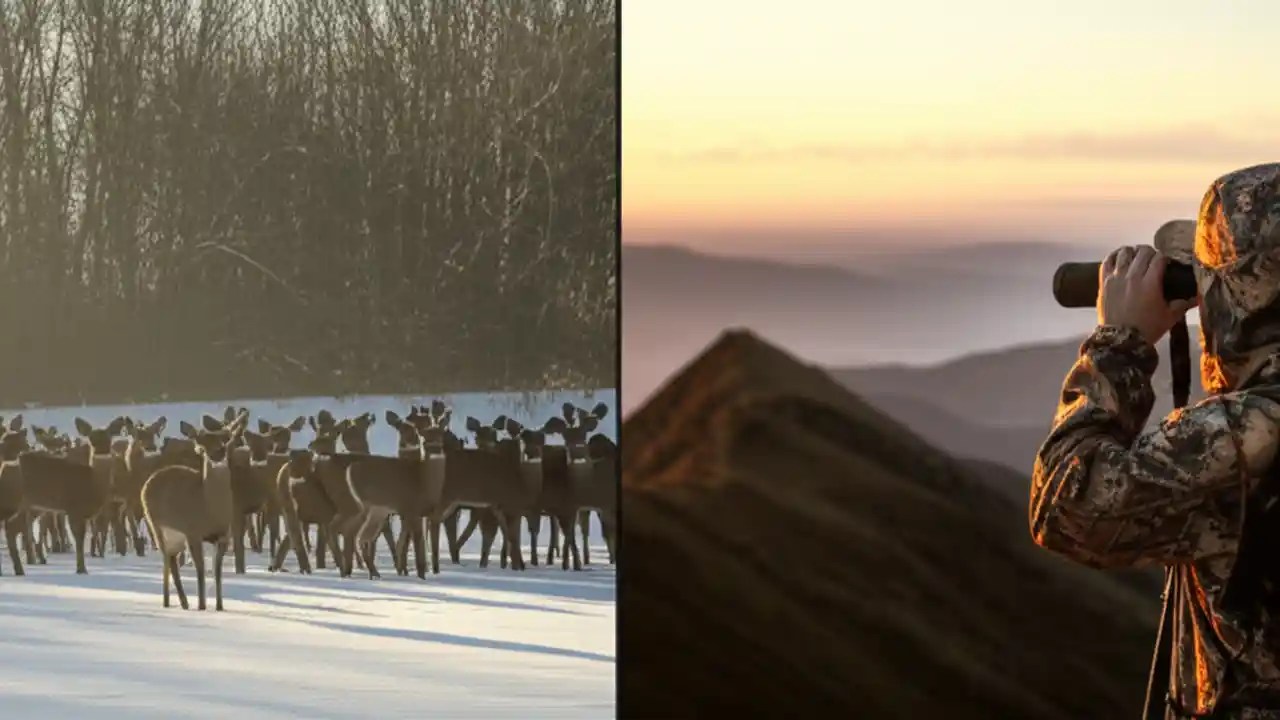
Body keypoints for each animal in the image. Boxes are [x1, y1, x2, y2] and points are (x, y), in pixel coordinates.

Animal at [140, 411, 248, 611]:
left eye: (226, 440)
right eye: (202, 446)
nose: (217, 456)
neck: (209, 511)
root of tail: (147, 484)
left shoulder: (223, 536)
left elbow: (217, 570)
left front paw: (220, 606)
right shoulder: (193, 533)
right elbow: (200, 570)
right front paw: (202, 606)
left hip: (176, 539)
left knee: (172, 559)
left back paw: (180, 602)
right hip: (156, 525)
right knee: (167, 560)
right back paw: (171, 602)